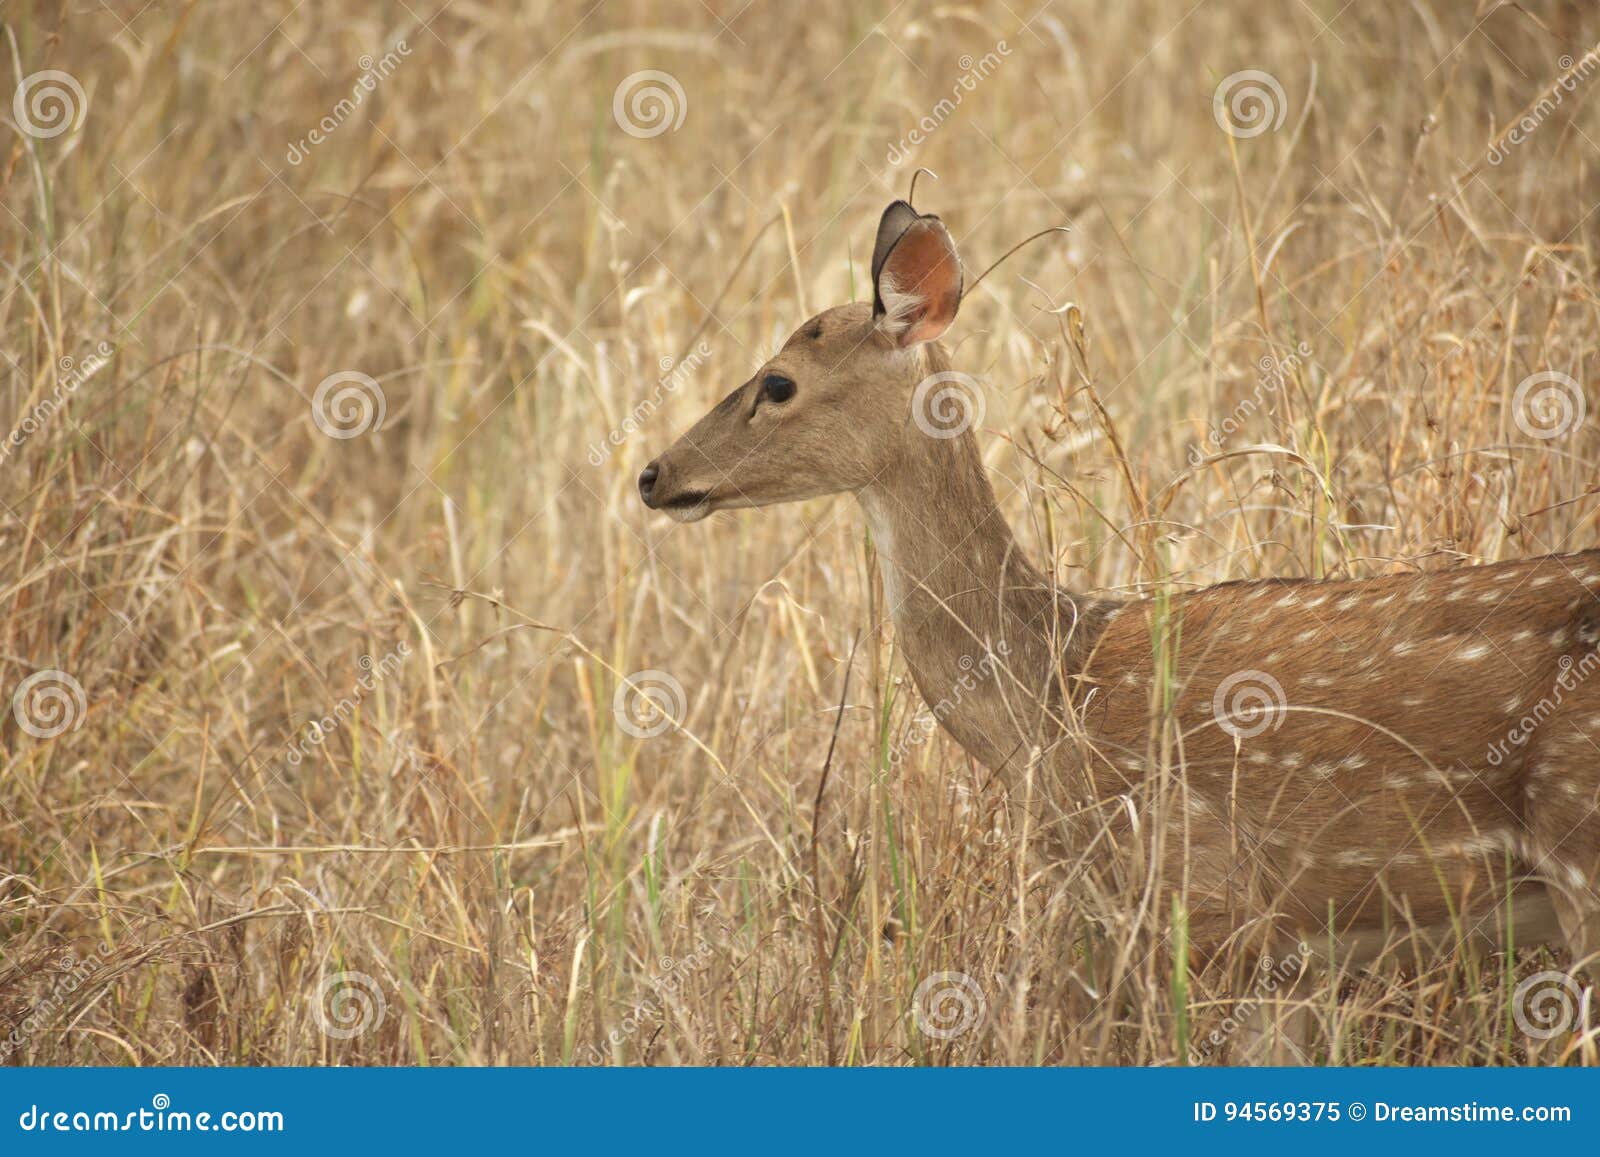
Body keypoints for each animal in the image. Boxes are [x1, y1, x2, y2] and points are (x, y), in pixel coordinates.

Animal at [637, 199, 1599, 1060]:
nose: (653, 473)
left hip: (1579, 846)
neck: (1055, 697)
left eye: (777, 382)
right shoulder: (1279, 954)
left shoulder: (1208, 902)